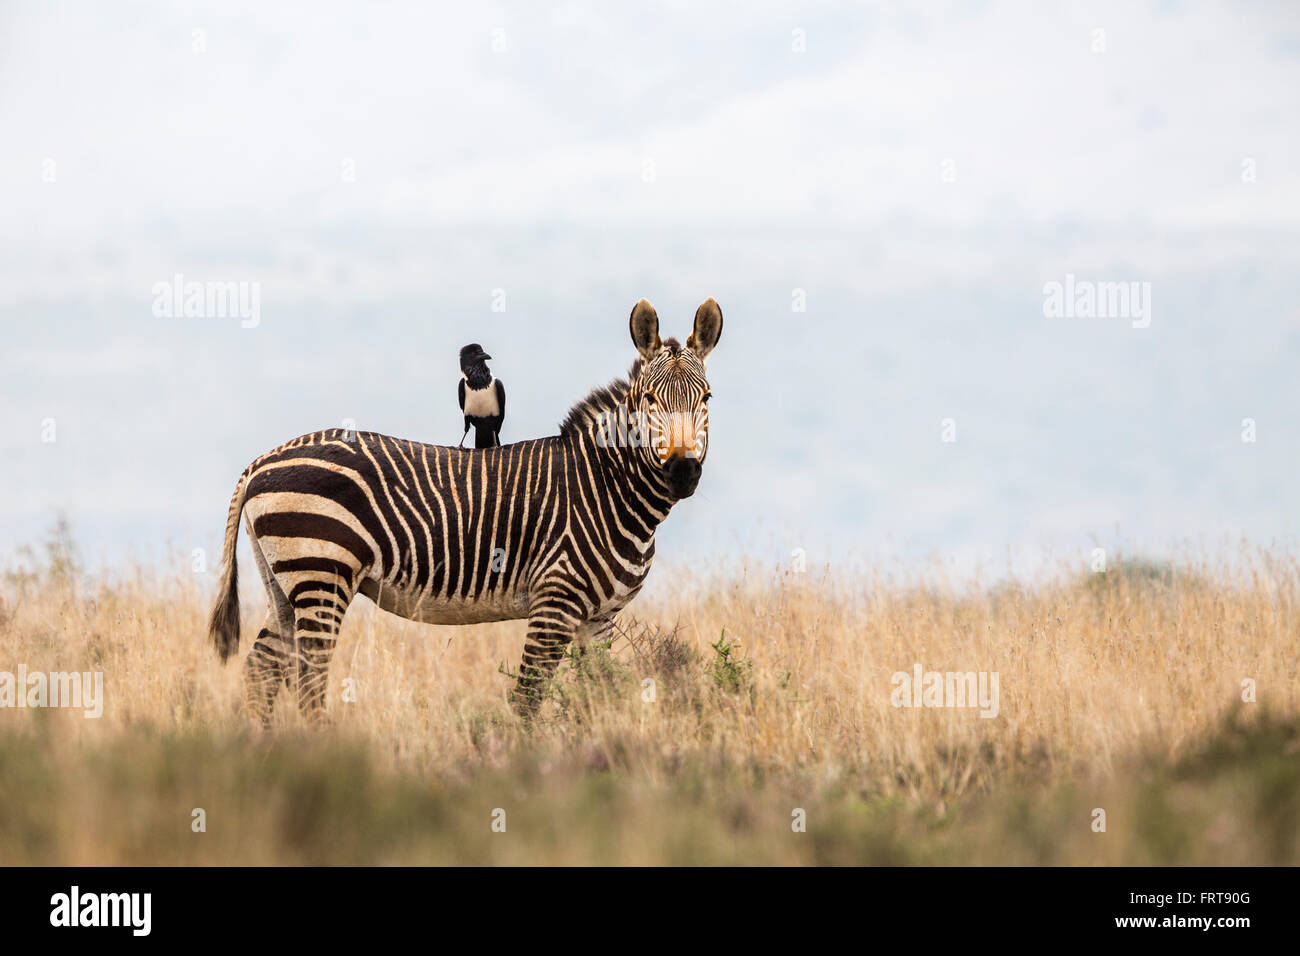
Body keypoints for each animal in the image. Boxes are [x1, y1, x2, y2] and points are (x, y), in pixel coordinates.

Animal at [207, 297, 722, 721]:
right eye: (650, 399)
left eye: (707, 397)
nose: (682, 472)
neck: (607, 485)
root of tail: (260, 461)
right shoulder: (555, 601)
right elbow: (528, 698)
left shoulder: (600, 617)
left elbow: (598, 696)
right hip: (321, 571)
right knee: (309, 678)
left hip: (285, 582)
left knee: (262, 668)